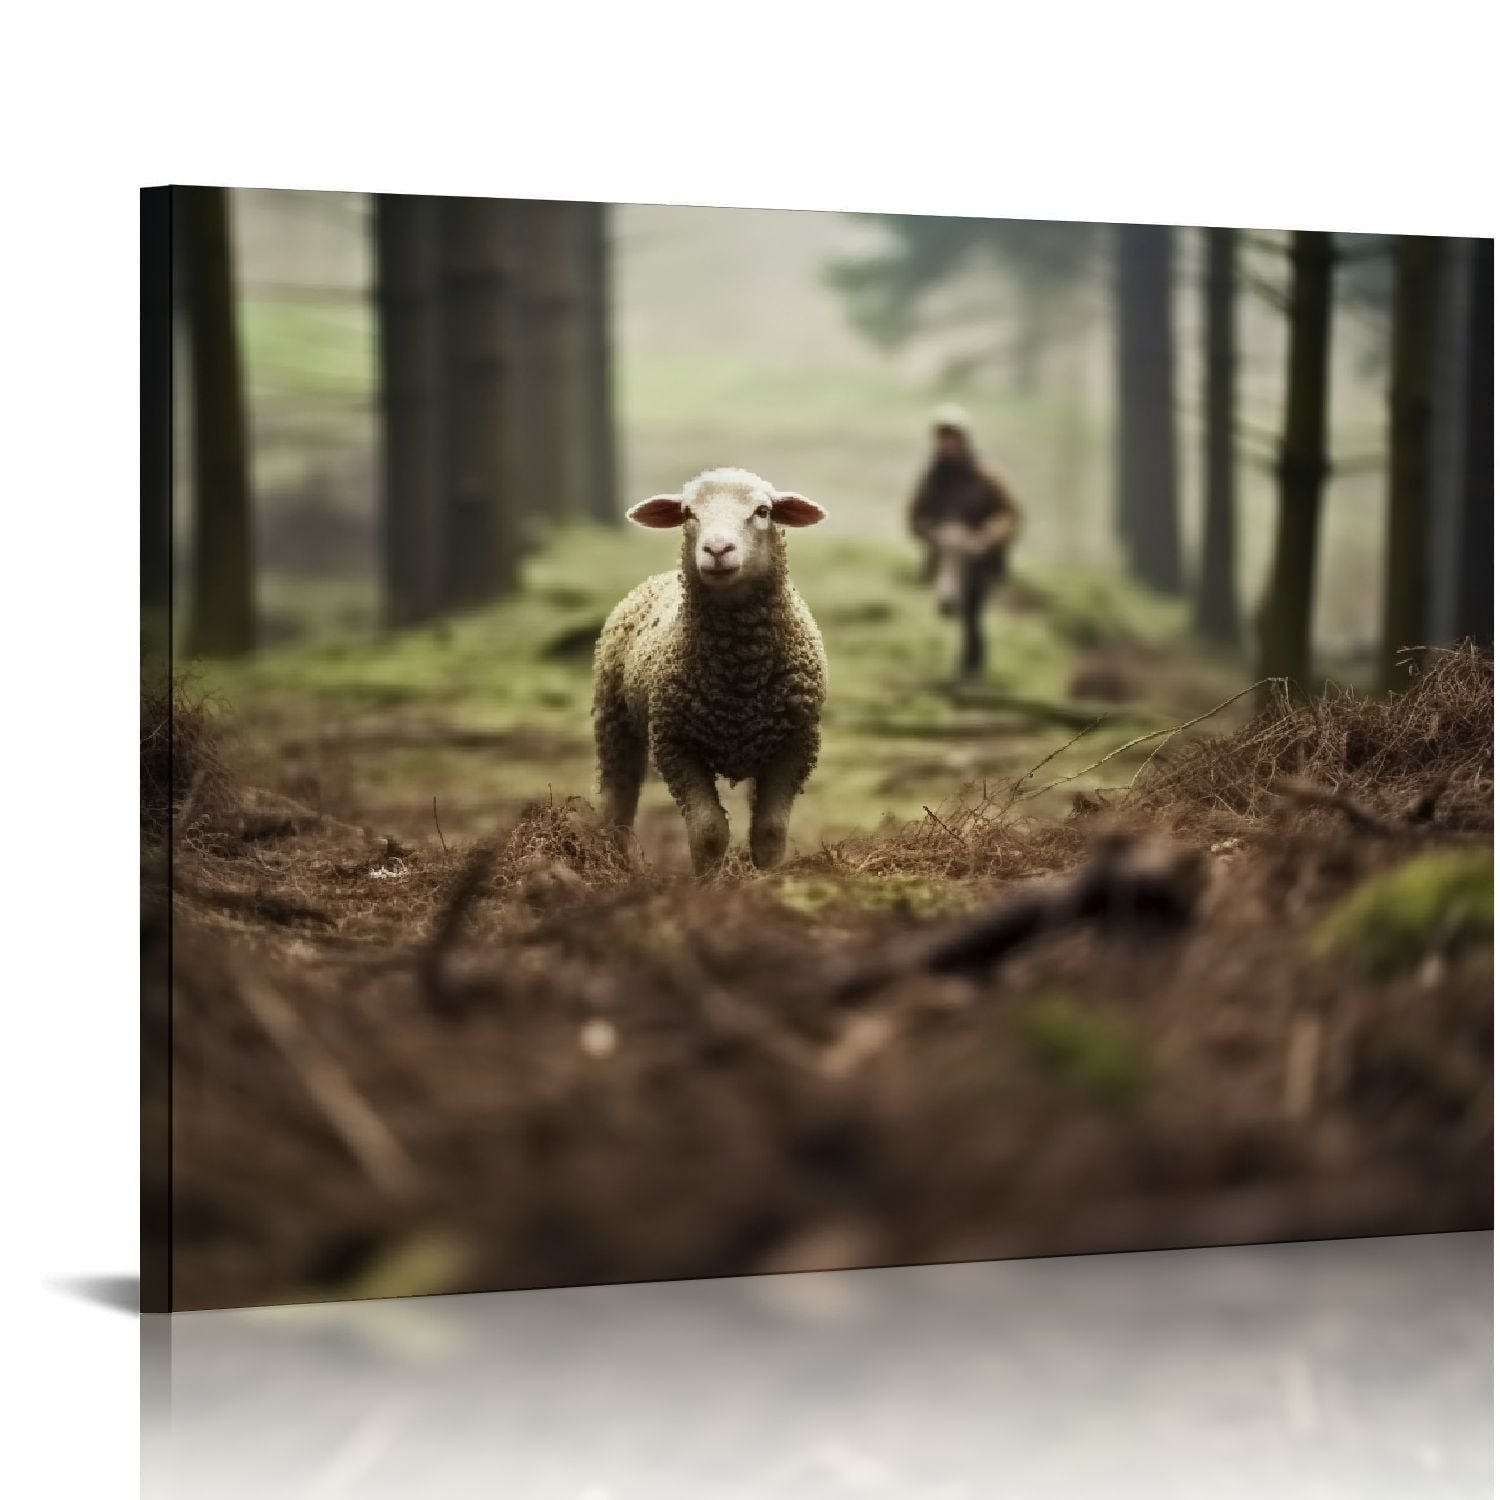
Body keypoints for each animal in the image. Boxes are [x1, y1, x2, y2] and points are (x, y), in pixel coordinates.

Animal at [592, 467, 828, 874]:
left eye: (763, 511)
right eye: (688, 513)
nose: (717, 550)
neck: (738, 672)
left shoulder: (795, 744)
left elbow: (769, 831)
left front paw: (767, 879)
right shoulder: (675, 743)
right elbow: (709, 832)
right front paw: (708, 882)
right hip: (614, 718)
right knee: (618, 797)